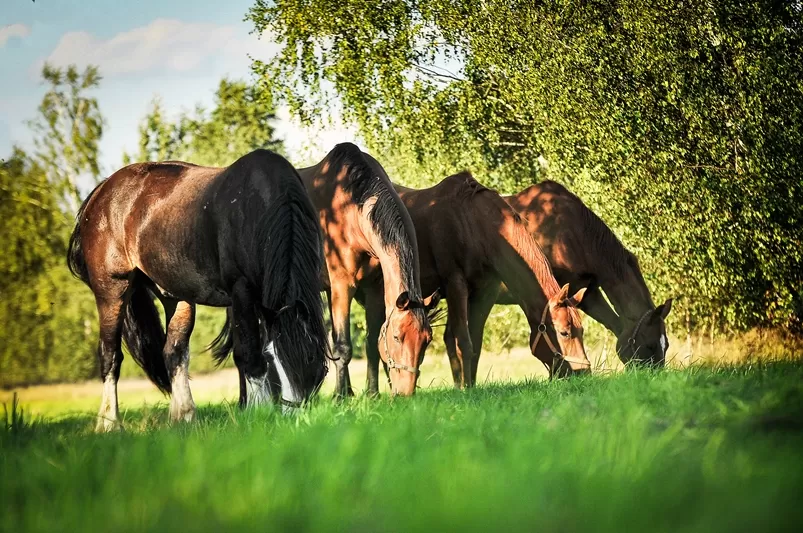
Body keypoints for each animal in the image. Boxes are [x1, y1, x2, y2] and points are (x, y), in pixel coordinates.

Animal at [66, 148, 328, 430]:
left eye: (315, 363)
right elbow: (250, 356)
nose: (296, 421)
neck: (258, 206)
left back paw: (184, 416)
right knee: (110, 355)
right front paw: (258, 413)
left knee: (174, 352)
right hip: (112, 289)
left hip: (175, 296)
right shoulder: (242, 292)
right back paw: (109, 423)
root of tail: (101, 191)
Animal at [358, 171, 592, 390]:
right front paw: (465, 390)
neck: (473, 221)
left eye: (581, 330)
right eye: (563, 332)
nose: (584, 374)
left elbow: (474, 344)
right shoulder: (456, 284)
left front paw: (466, 385)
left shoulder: (485, 291)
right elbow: (463, 342)